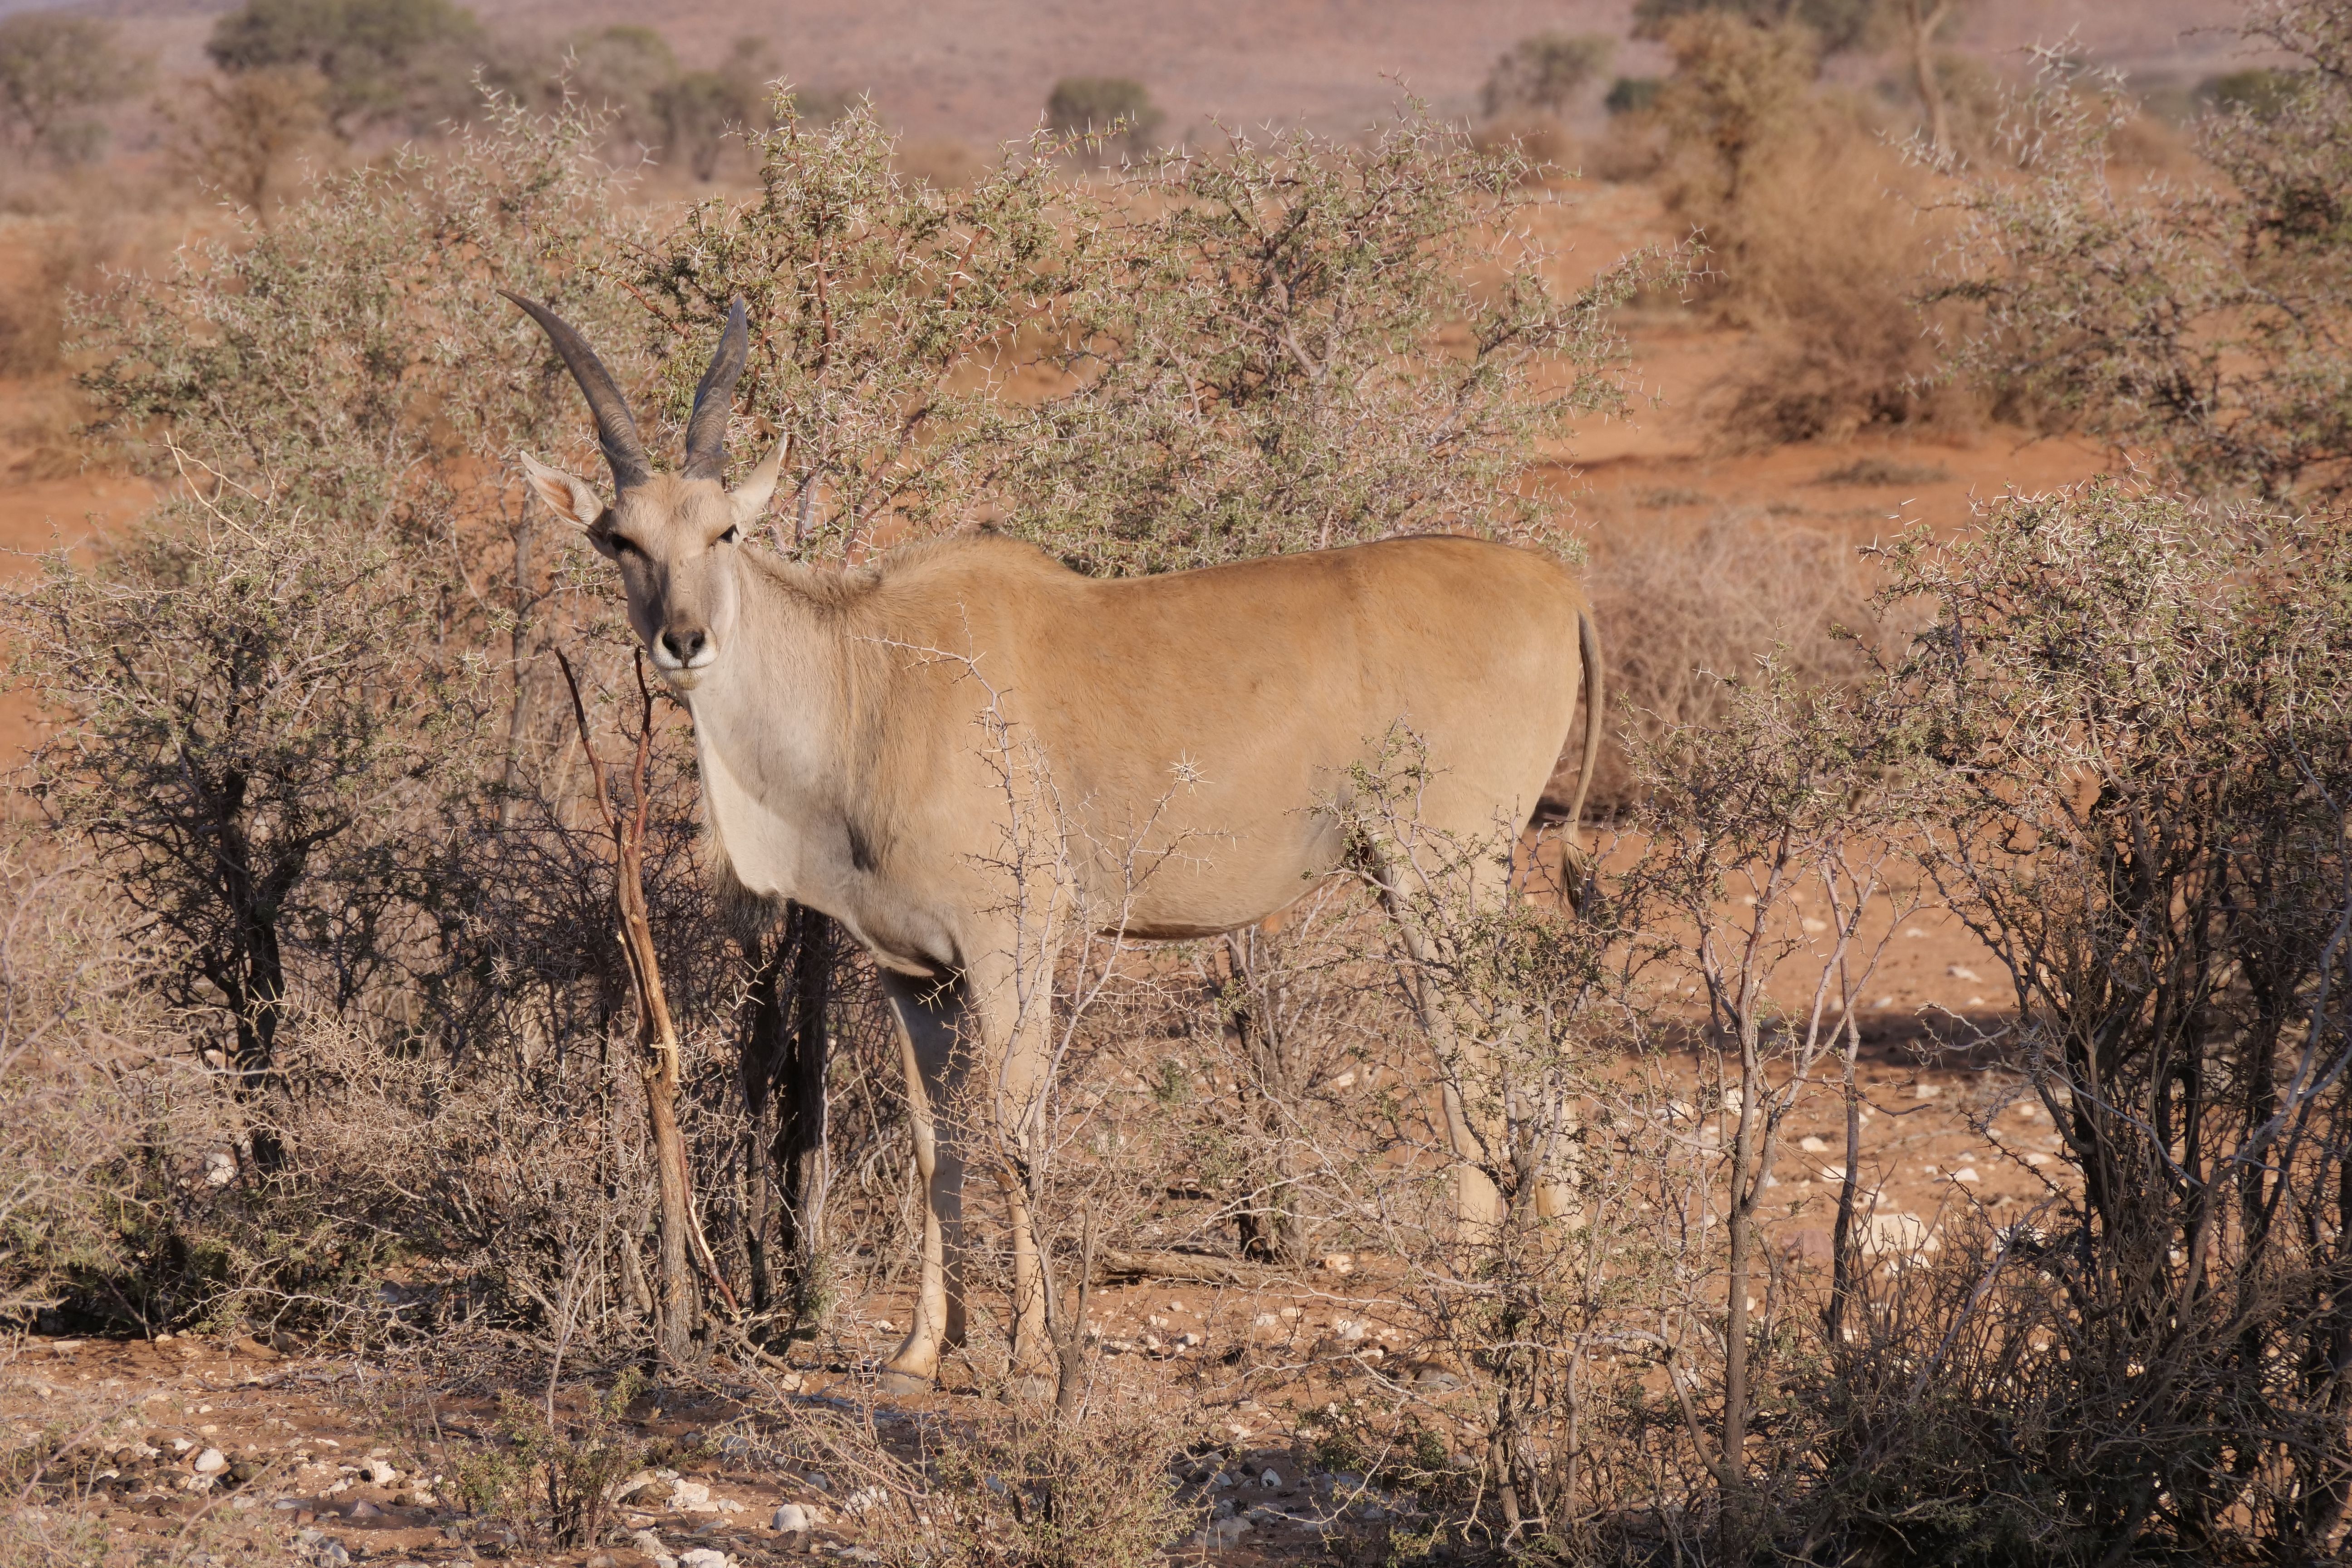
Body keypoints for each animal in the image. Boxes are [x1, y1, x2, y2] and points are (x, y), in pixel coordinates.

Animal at [508, 293, 1605, 1394]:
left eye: (724, 530)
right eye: (618, 539)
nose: (683, 642)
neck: (870, 676)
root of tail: (1558, 586)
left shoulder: (1013, 942)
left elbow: (1013, 1127)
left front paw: (1031, 1352)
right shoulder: (915, 975)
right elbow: (934, 1143)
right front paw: (919, 1351)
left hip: (1439, 879)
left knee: (1477, 1063)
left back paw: (1464, 1328)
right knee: (1532, 1054)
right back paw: (1550, 1305)